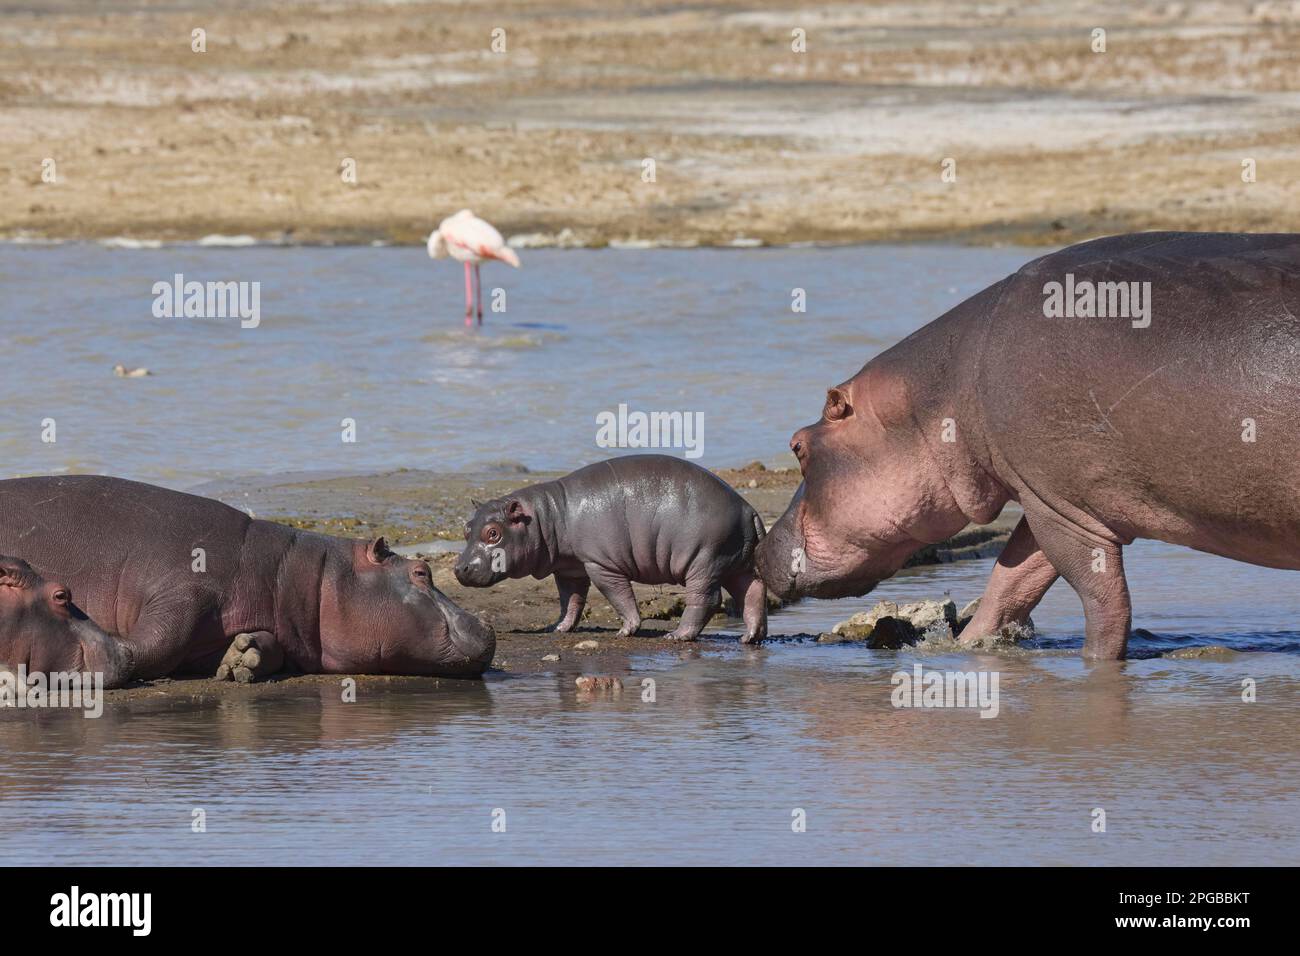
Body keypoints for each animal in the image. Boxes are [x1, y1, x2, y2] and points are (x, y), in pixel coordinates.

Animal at [454, 455, 767, 642]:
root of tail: (748, 509)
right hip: (735, 563)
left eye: (493, 533)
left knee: (706, 598)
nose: (460, 568)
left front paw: (626, 630)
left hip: (703, 559)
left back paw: (676, 636)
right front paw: (557, 628)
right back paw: (750, 637)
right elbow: (570, 601)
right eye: (467, 527)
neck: (548, 515)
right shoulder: (569, 568)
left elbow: (618, 595)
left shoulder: (600, 564)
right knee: (752, 591)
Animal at [756, 232, 1300, 660]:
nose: (760, 546)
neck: (938, 395)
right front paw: (965, 647)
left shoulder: (1067, 510)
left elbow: (1104, 604)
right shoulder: (1044, 496)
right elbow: (1010, 582)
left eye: (798, 446)